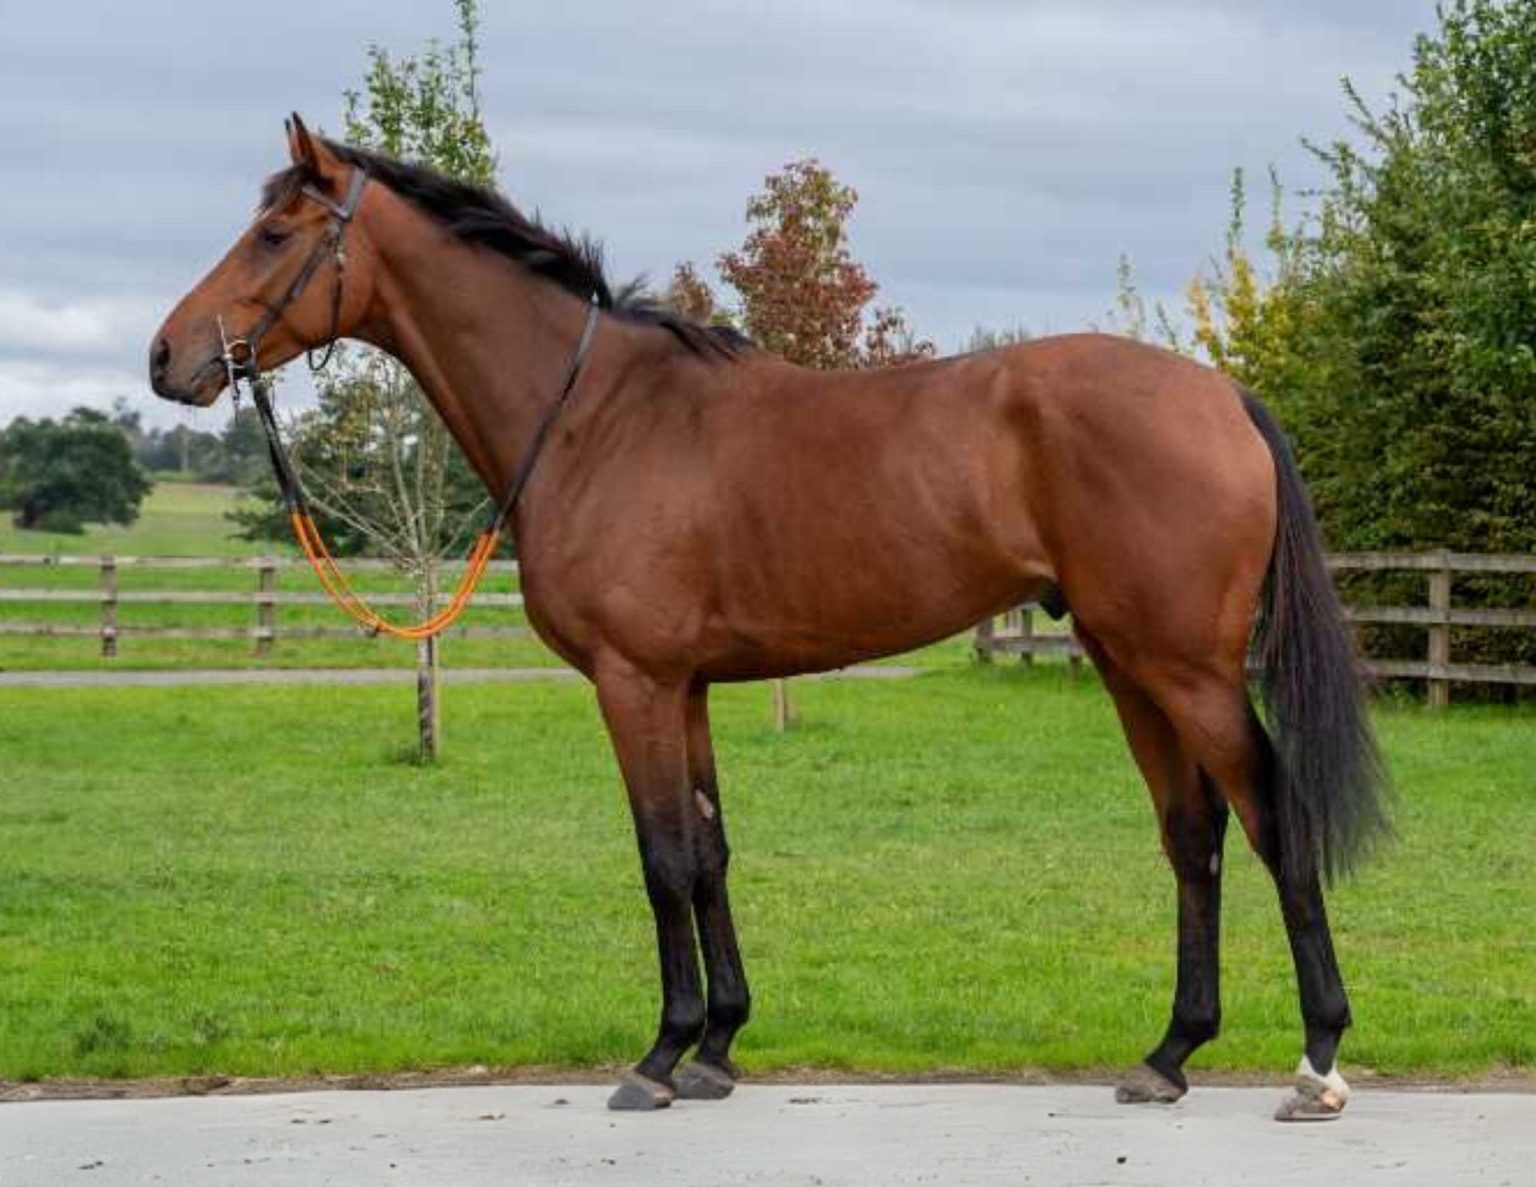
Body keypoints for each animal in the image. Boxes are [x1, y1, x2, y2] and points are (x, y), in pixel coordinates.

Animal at [150, 115, 1387, 1119]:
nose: (168, 355)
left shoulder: (633, 681)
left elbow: (660, 858)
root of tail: (1221, 394)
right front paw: (718, 1047)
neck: (593, 413)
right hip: (1130, 663)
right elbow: (709, 851)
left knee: (1273, 822)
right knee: (1193, 835)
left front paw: (658, 1056)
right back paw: (1170, 1052)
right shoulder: (686, 686)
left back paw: (1318, 1060)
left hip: (1188, 668)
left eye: (274, 234)